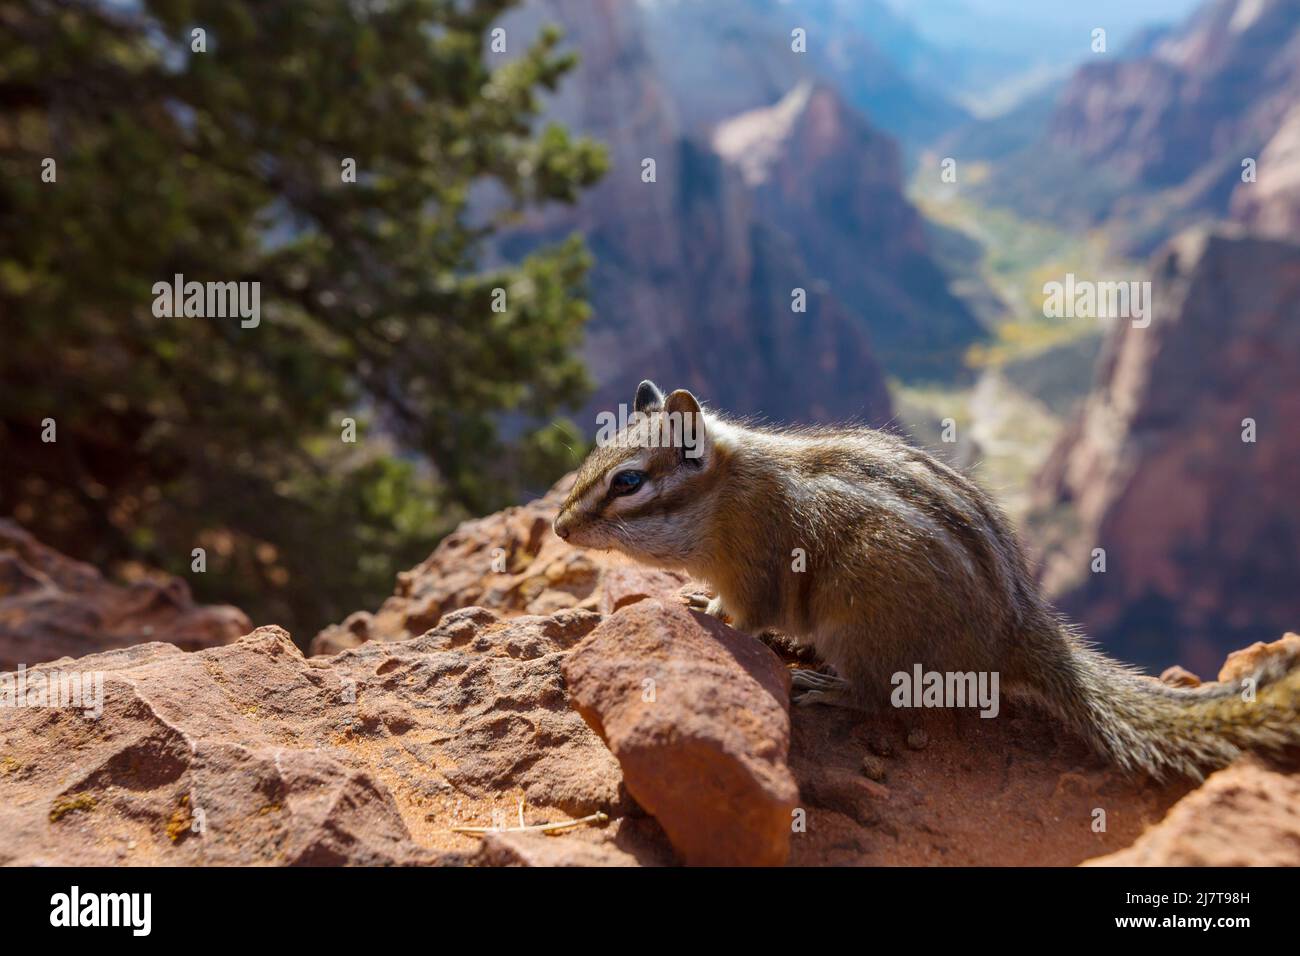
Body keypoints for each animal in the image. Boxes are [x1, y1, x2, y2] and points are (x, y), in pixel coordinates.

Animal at [553, 380, 1300, 779]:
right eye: (596, 454)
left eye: (628, 483)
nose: (559, 526)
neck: (723, 495)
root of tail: (1016, 632)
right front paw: (694, 594)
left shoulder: (757, 565)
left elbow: (745, 616)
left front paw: (711, 614)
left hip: (859, 621)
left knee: (881, 696)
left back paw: (827, 687)